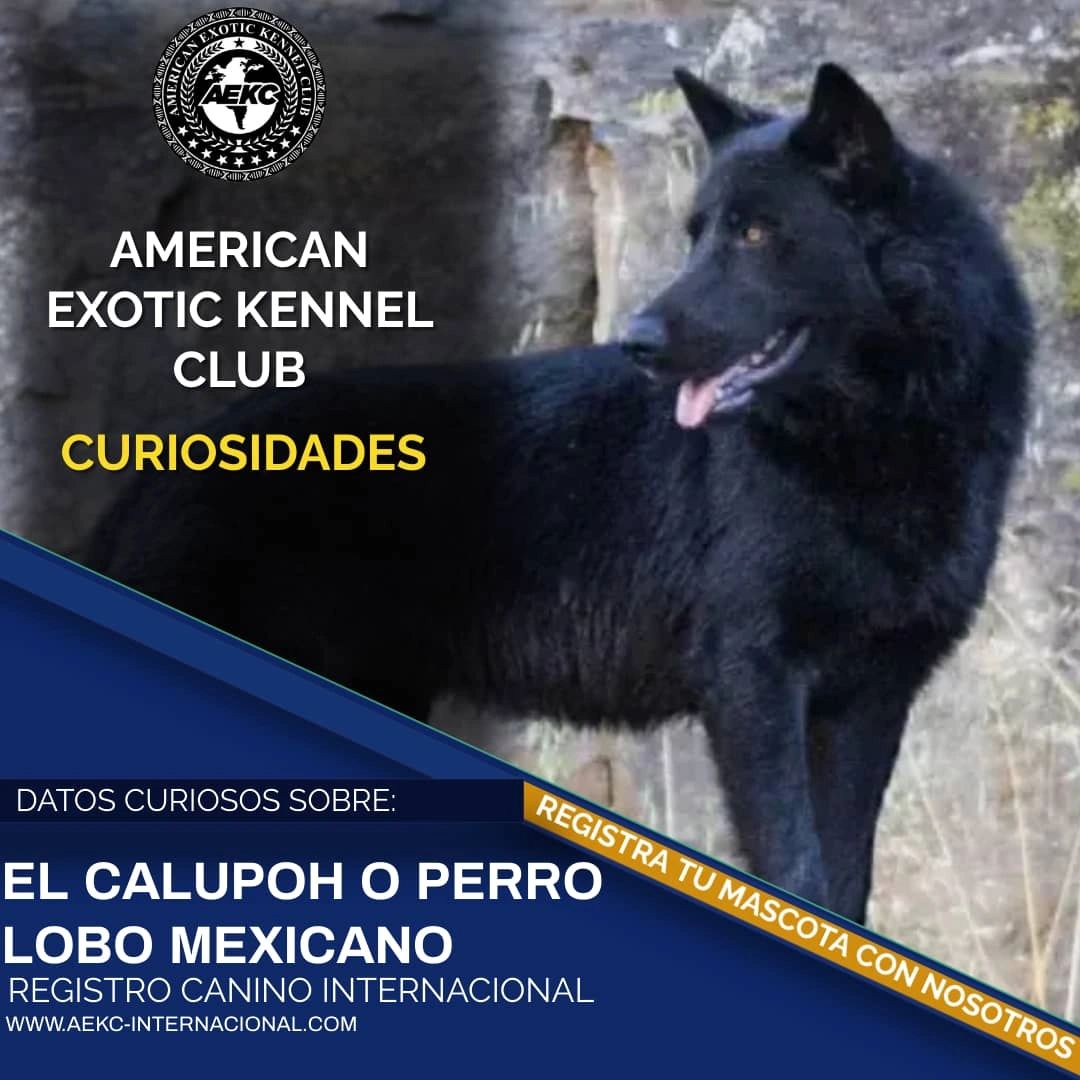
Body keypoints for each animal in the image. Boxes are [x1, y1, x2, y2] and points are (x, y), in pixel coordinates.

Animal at [85, 64, 1033, 923]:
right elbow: (796, 869)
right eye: (699, 235)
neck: (874, 442)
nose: (639, 343)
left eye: (760, 234)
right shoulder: (755, 684)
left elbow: (844, 882)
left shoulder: (869, 701)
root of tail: (148, 473)